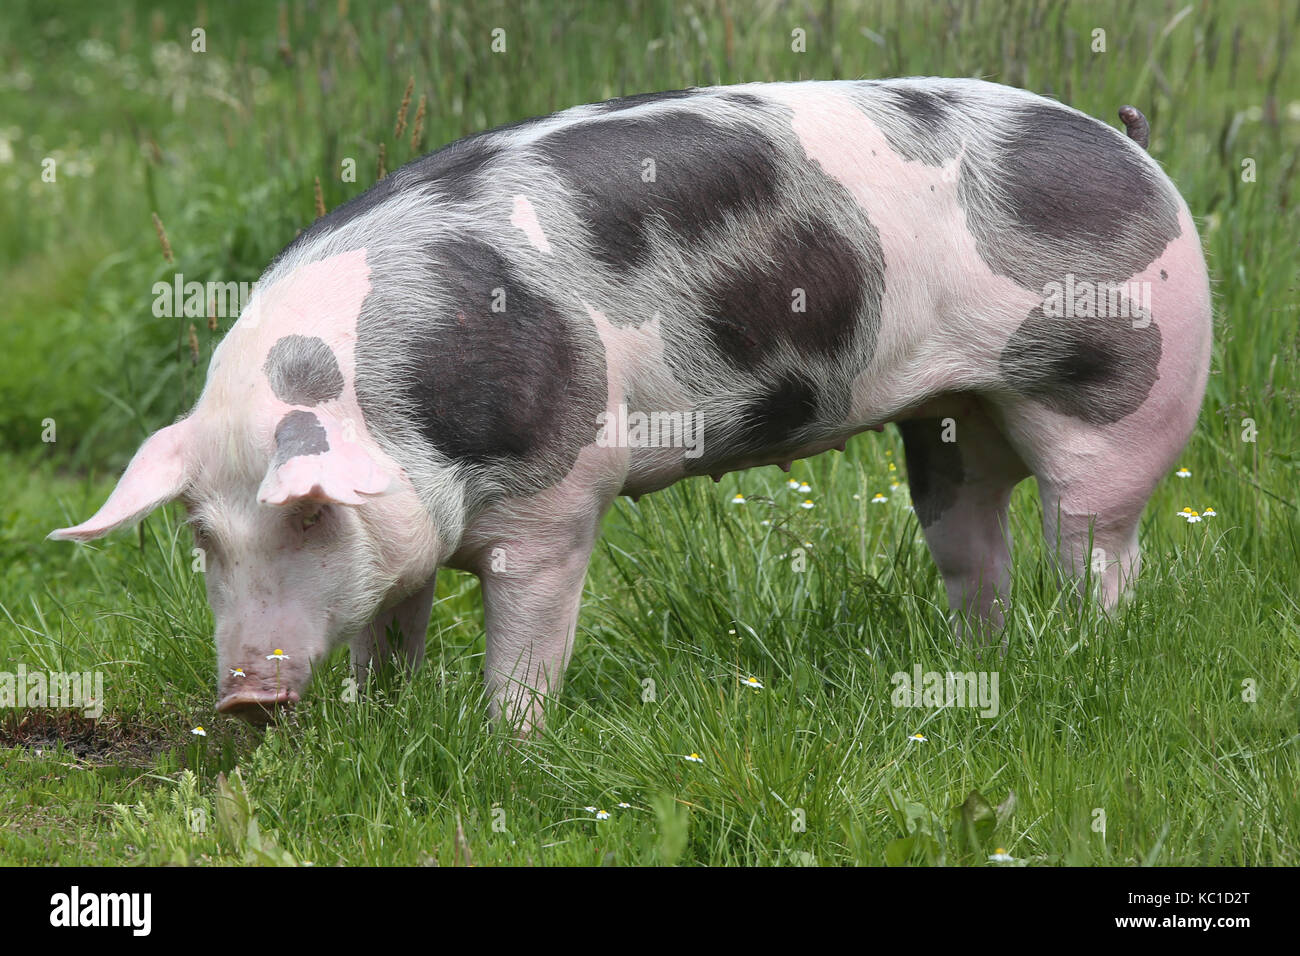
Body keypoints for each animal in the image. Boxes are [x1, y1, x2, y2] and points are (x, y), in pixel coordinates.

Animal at [50, 78, 1212, 729]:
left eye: (307, 515)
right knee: (975, 537)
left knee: (1100, 541)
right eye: (205, 535)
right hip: (949, 419)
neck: (394, 405)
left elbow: (528, 636)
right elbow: (390, 625)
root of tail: (1134, 144)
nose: (245, 696)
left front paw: (504, 744)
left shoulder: (561, 497)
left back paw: (1087, 651)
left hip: (1124, 393)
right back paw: (979, 660)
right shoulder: (407, 534)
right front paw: (378, 724)